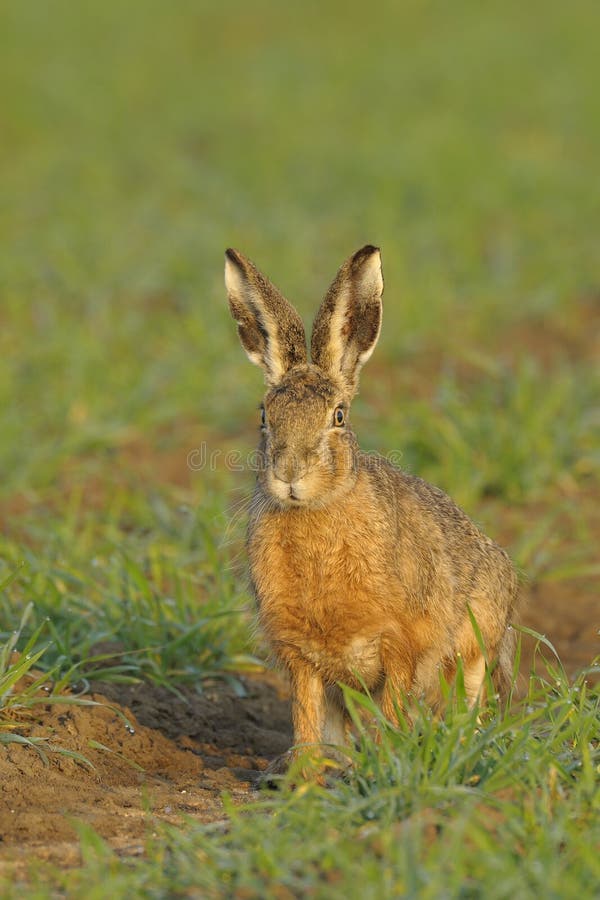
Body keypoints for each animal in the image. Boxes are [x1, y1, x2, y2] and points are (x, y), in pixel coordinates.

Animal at [224, 244, 518, 773]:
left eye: (339, 416)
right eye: (264, 416)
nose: (289, 473)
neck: (319, 510)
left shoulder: (401, 644)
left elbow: (392, 709)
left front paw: (383, 765)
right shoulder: (301, 656)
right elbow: (306, 716)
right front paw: (303, 776)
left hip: (479, 638)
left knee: (470, 697)